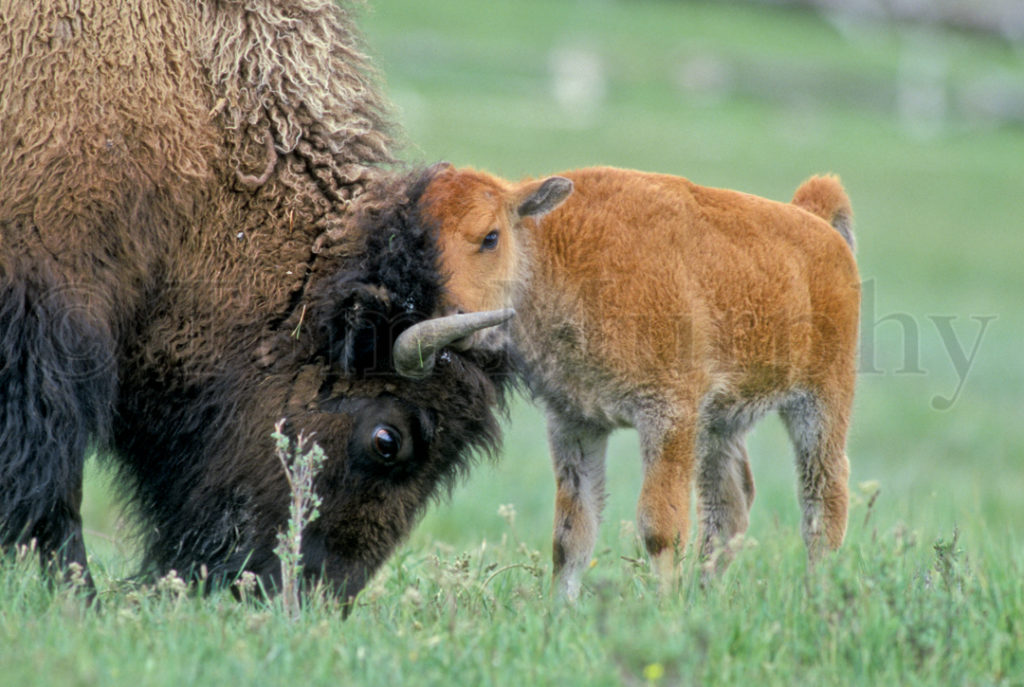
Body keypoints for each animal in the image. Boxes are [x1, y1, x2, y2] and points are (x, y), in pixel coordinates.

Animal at [396, 163, 860, 600]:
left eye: (490, 237)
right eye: (417, 248)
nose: (449, 318)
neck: (557, 253)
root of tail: (814, 222)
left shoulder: (667, 415)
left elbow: (659, 526)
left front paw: (666, 608)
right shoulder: (575, 422)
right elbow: (571, 533)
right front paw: (559, 612)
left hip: (820, 402)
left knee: (824, 496)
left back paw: (816, 594)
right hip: (720, 422)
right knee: (731, 503)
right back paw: (706, 594)